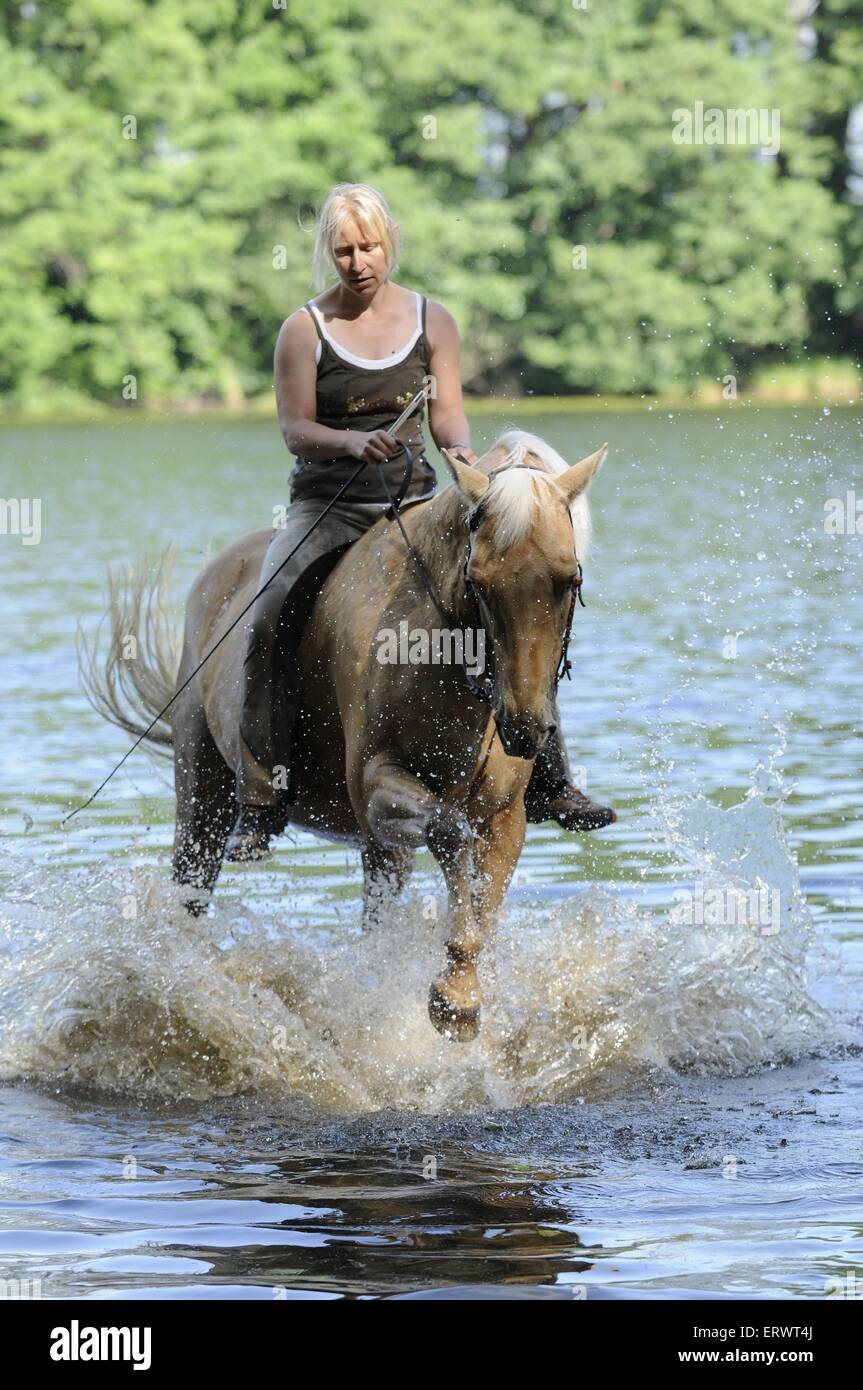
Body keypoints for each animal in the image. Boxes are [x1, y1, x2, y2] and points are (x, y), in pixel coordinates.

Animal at [82, 430, 606, 1041]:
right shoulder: (376, 787)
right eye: (478, 582)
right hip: (203, 801)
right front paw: (453, 997)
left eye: (569, 579)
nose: (523, 728)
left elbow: (484, 890)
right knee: (191, 889)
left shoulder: (502, 815)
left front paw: (462, 989)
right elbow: (449, 831)